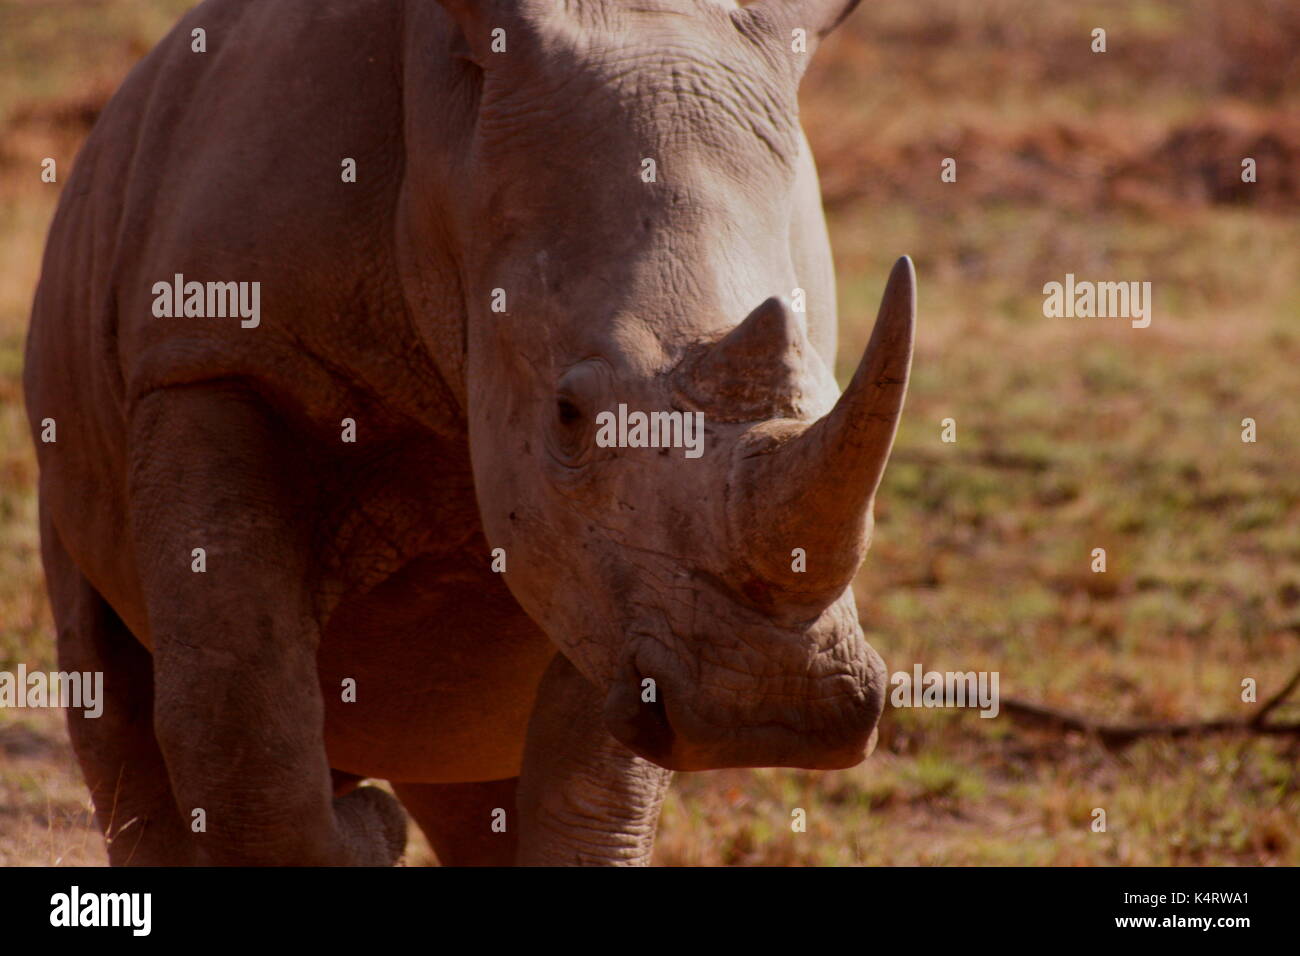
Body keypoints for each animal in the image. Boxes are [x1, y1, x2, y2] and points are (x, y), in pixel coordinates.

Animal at [24, 0, 914, 866]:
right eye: (567, 416)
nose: (771, 711)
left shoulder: (612, 577)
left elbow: (588, 794)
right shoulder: (216, 361)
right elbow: (241, 722)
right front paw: (369, 833)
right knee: (110, 680)